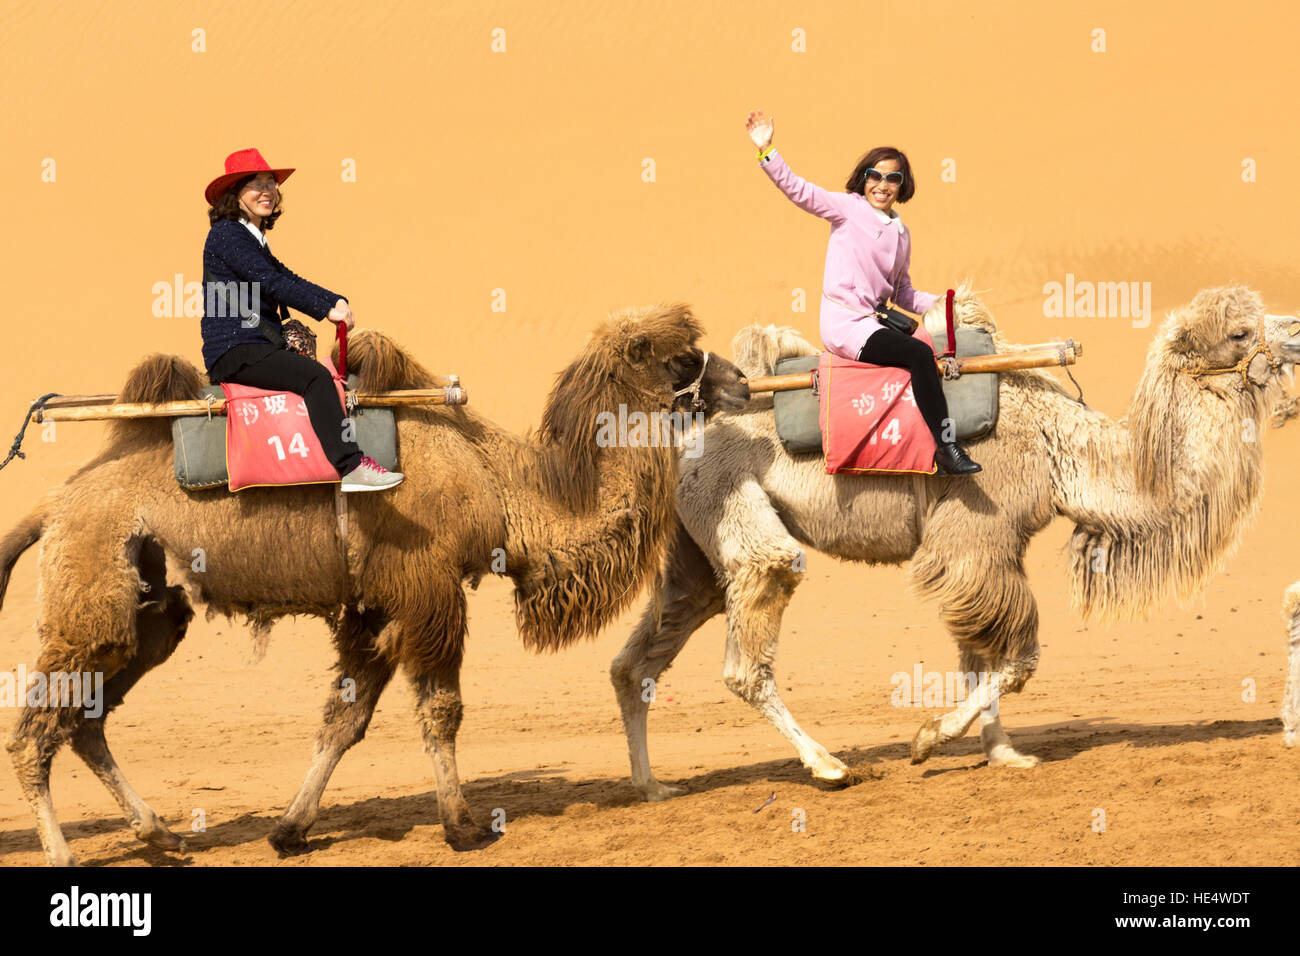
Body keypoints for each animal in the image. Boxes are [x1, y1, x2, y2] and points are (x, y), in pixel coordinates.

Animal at [0, 303, 750, 866]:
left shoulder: (372, 606)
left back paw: (161, 835)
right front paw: (463, 827)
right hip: (89, 598)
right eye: (683, 358)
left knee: (87, 719)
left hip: (148, 614)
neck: (500, 488)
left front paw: (291, 830)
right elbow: (441, 711)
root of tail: (53, 505)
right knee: (37, 728)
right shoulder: (428, 589)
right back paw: (63, 852)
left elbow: (344, 719)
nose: (743, 382)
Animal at [610, 285, 1300, 800]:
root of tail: (681, 430)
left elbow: (980, 652)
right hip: (731, 505)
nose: (1295, 328)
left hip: (693, 549)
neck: (1062, 449)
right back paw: (827, 766)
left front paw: (1003, 752)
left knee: (636, 660)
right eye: (1239, 333)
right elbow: (1018, 659)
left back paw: (651, 787)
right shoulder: (976, 530)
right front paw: (930, 739)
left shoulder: (992, 549)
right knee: (751, 634)